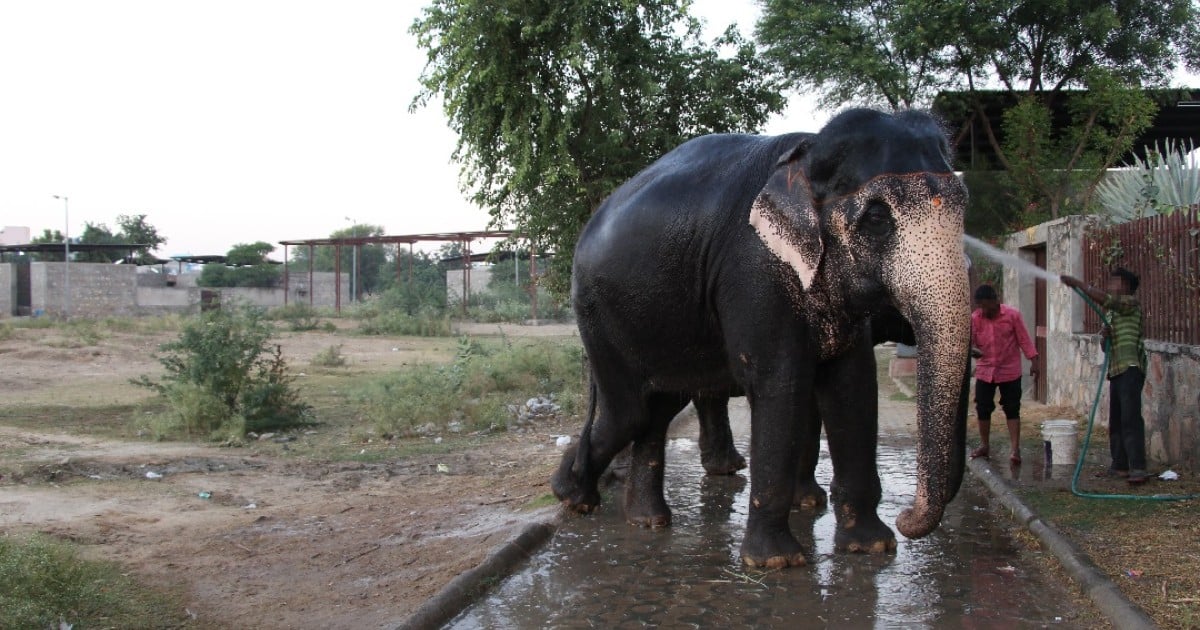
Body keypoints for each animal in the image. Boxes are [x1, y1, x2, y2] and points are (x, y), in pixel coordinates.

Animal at [551, 108, 972, 569]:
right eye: (878, 219)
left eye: (963, 207)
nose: (906, 517)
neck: (810, 152)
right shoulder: (754, 271)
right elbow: (782, 384)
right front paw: (775, 562)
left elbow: (853, 385)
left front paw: (871, 547)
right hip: (600, 318)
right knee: (629, 411)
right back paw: (574, 497)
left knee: (656, 409)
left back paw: (642, 519)